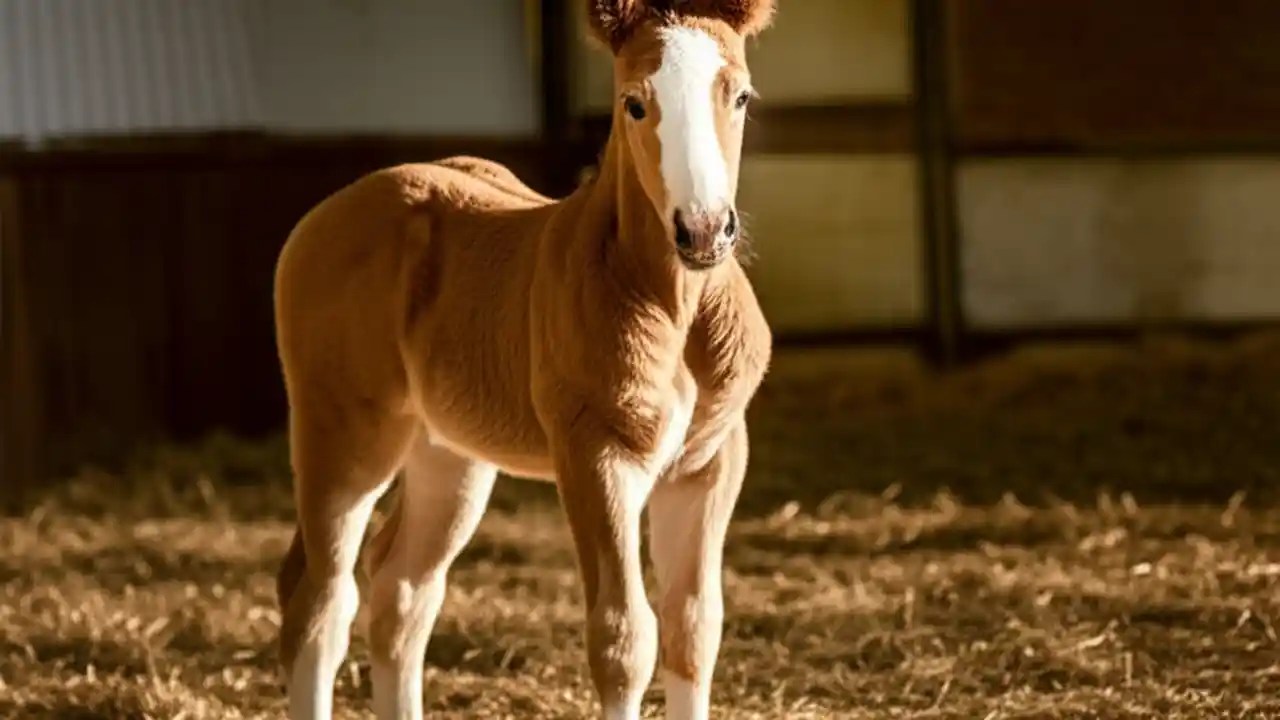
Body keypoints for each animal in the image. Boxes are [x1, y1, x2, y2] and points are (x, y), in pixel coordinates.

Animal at [272, 1, 776, 717]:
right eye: (634, 103)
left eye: (740, 96)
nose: (703, 231)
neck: (678, 306)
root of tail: (325, 214)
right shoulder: (597, 456)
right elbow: (624, 640)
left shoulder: (709, 462)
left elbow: (694, 629)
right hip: (346, 436)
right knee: (322, 599)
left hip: (449, 456)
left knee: (401, 590)